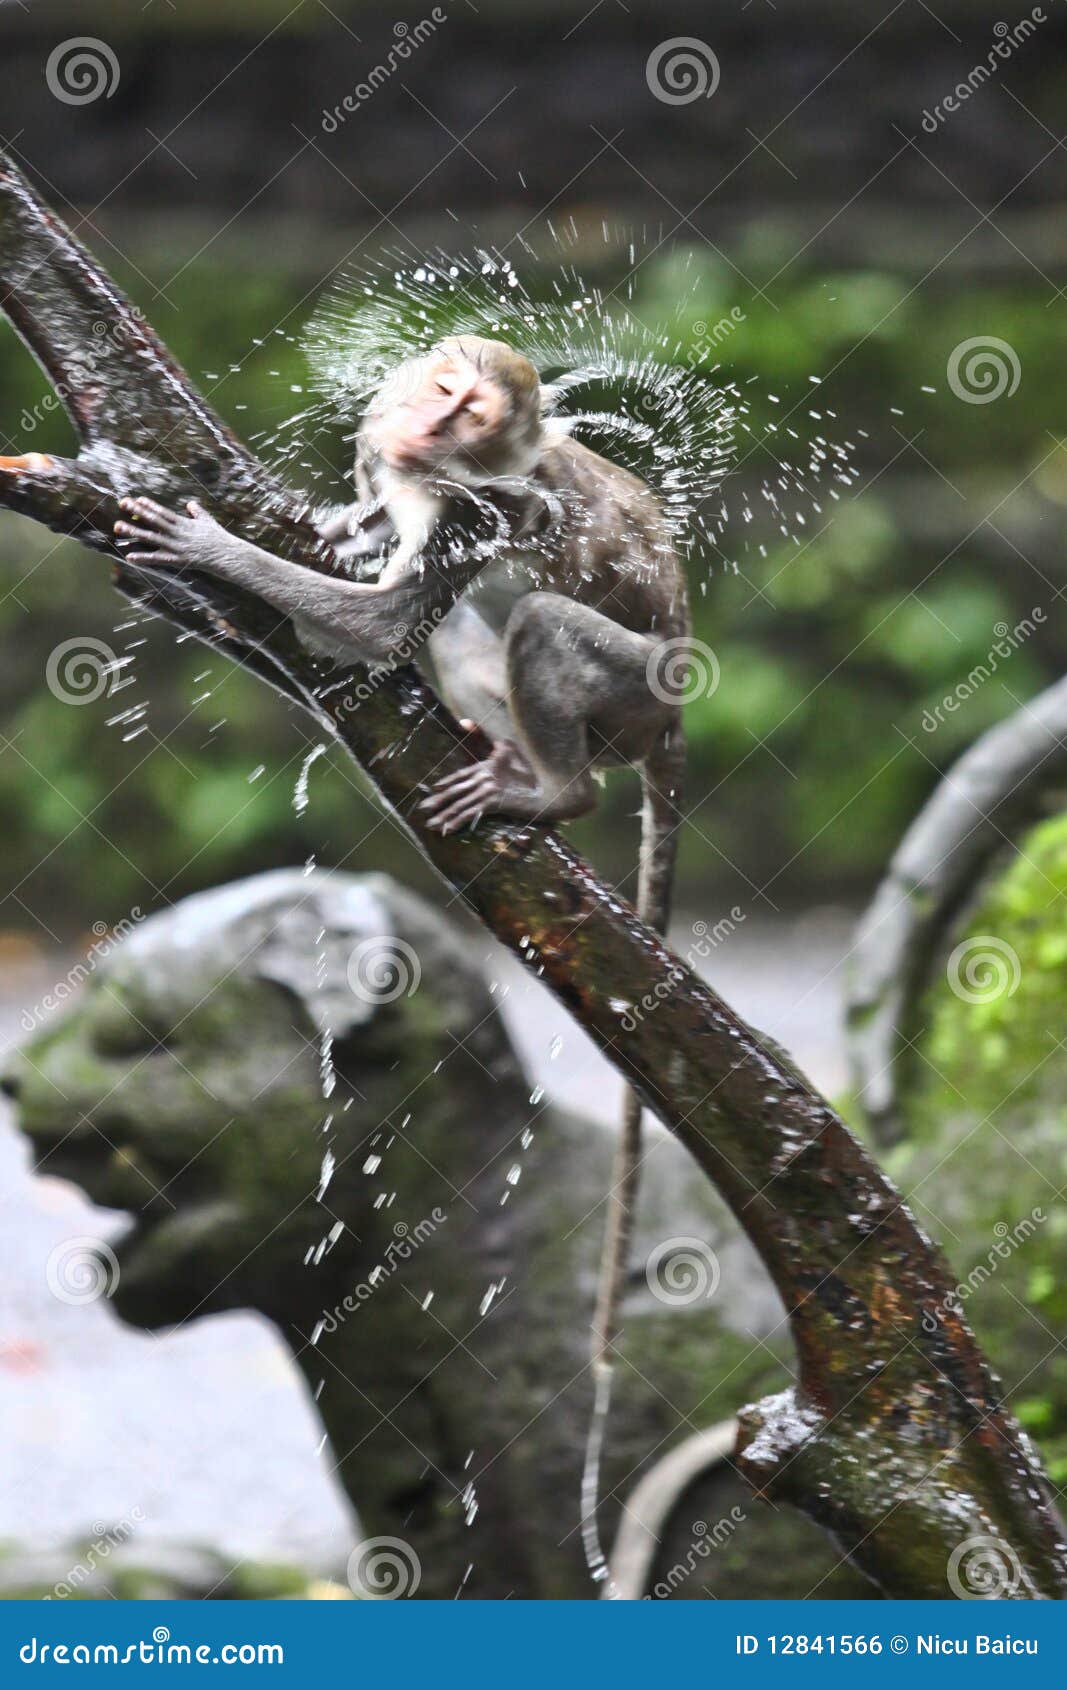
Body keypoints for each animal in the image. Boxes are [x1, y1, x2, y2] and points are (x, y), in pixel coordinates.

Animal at [113, 333, 690, 1573]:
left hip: (631, 688)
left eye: (474, 414)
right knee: (479, 628)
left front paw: (211, 550)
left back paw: (558, 788)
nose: (435, 421)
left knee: (532, 625)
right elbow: (380, 544)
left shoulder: (468, 506)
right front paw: (341, 518)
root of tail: (671, 721)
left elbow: (393, 619)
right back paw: (508, 755)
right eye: (445, 388)